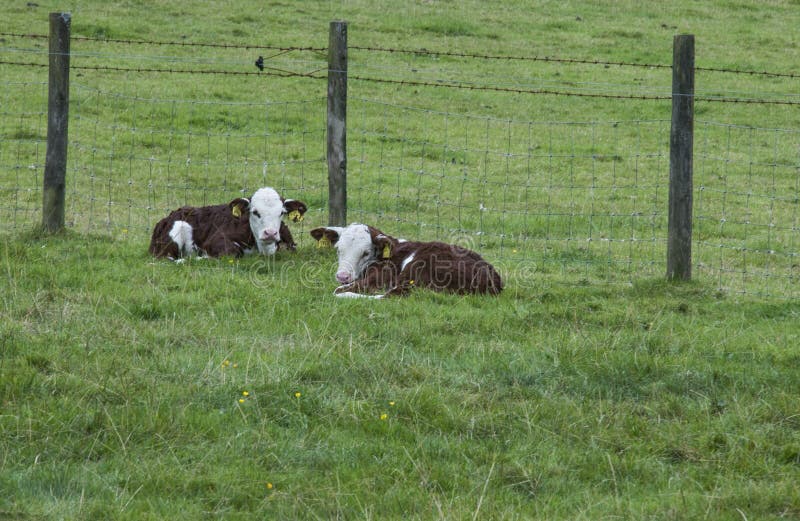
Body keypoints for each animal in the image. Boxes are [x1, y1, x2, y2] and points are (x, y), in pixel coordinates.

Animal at [310, 223, 503, 298]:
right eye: (338, 249)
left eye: (365, 253)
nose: (342, 276)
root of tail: (493, 280)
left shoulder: (380, 277)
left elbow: (338, 288)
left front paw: (343, 290)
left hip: (417, 270)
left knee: (391, 295)